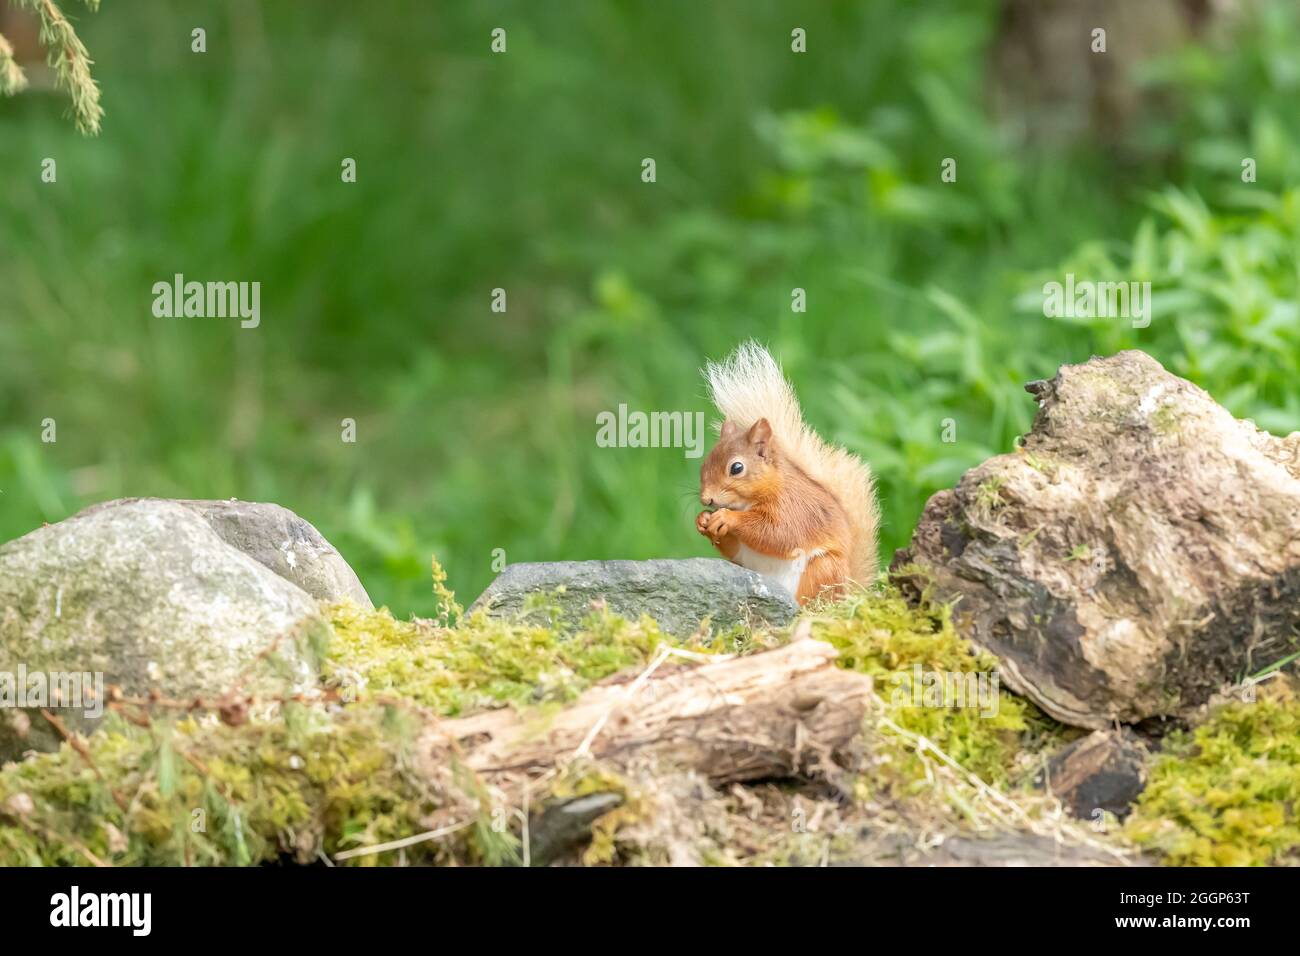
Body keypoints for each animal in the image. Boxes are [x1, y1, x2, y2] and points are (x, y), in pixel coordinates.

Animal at [695, 342, 880, 604]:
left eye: (736, 468)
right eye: (704, 465)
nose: (706, 499)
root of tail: (849, 593)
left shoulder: (795, 509)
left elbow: (779, 534)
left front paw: (727, 518)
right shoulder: (741, 552)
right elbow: (734, 548)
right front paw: (702, 520)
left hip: (822, 569)